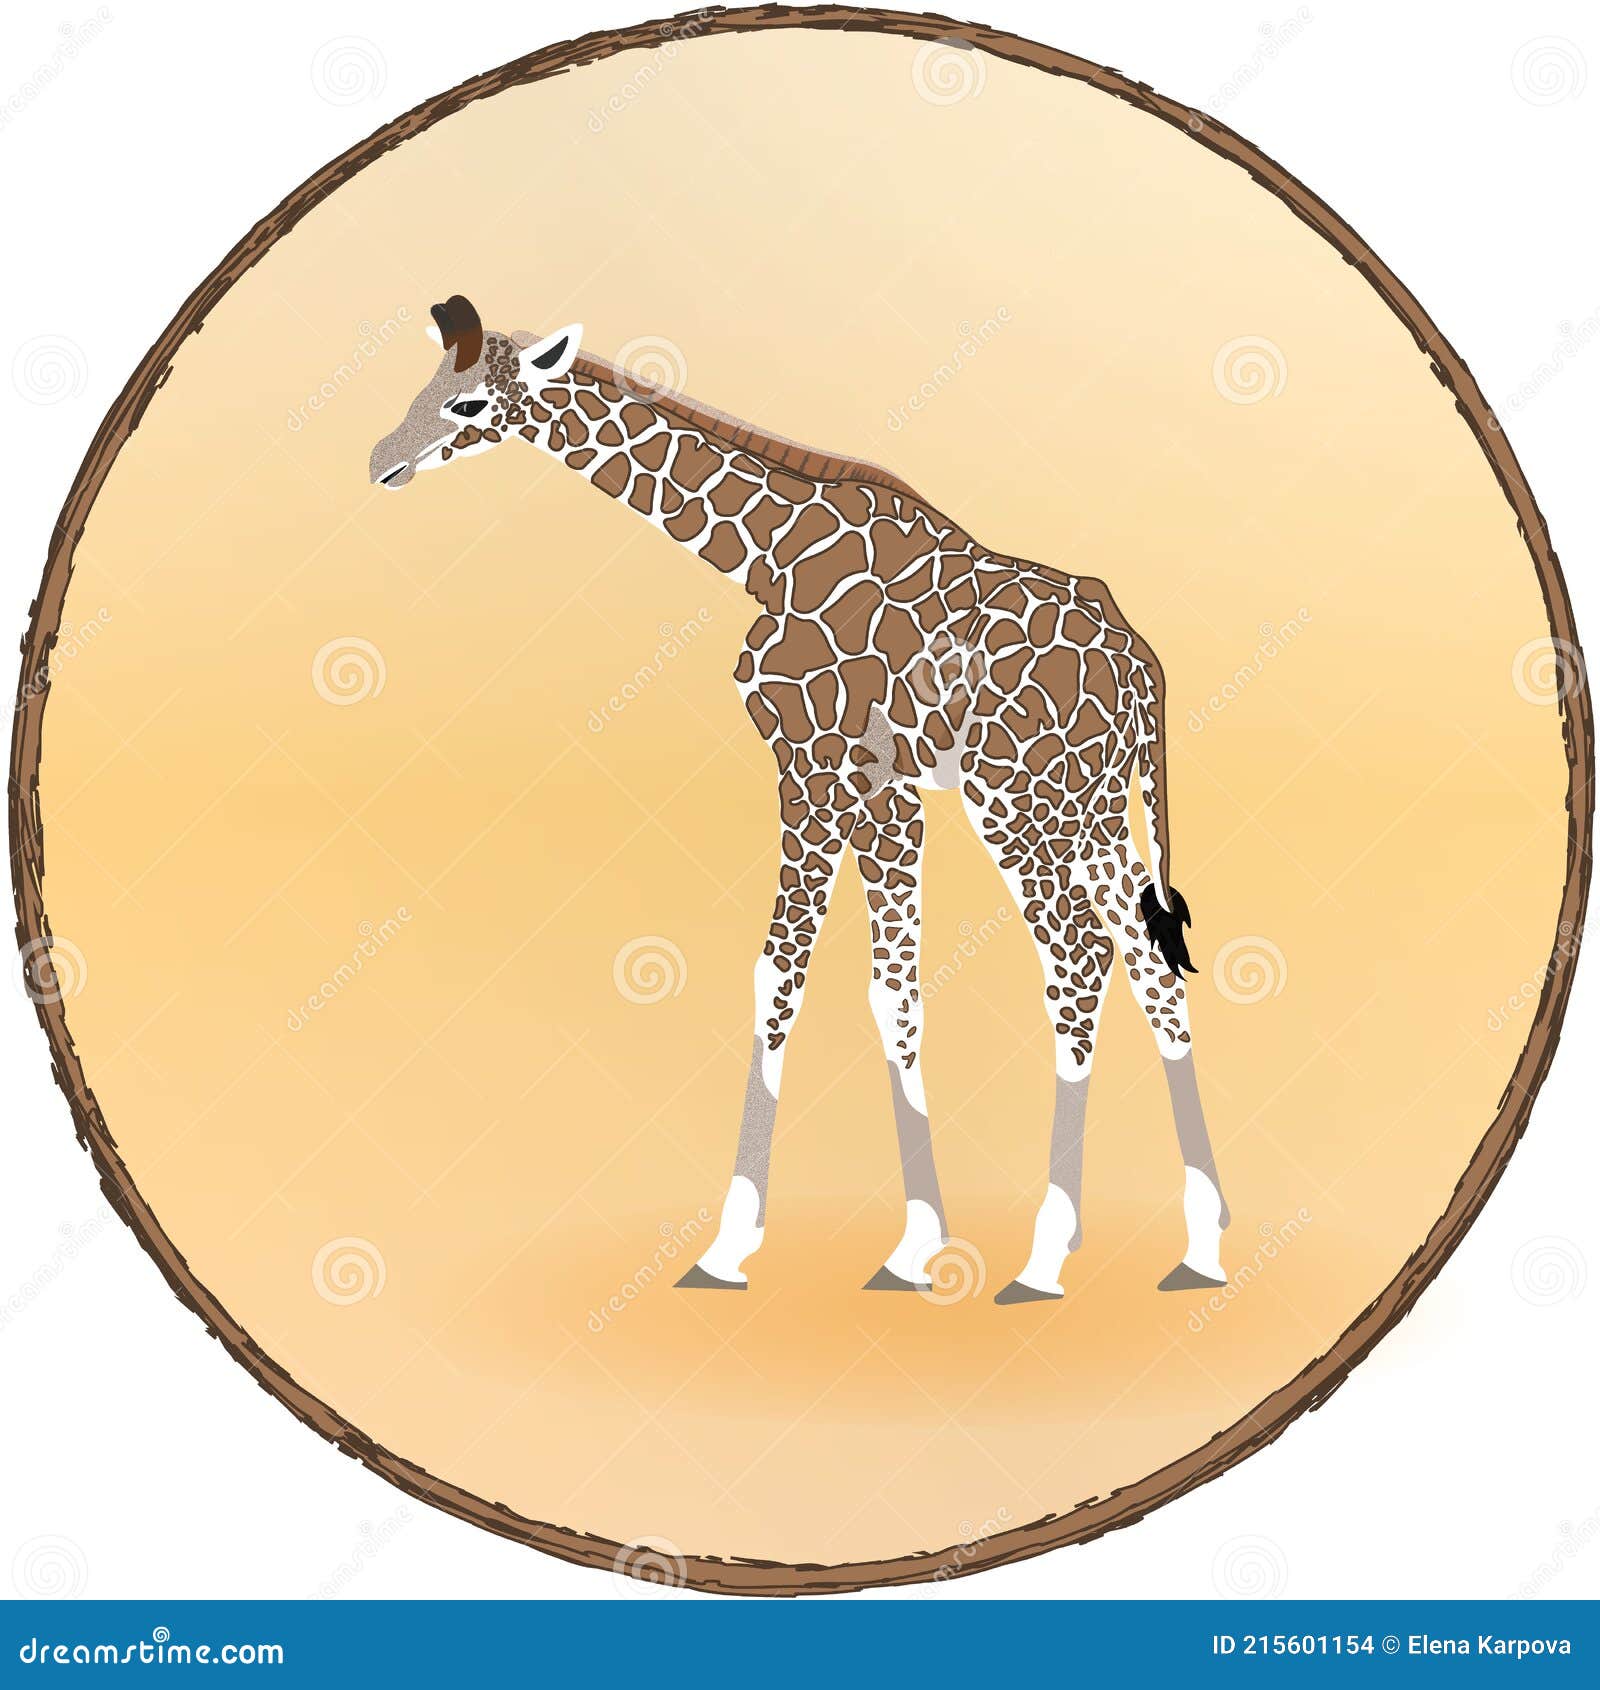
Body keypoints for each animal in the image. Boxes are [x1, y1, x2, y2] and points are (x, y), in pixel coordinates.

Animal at [369, 297, 1230, 1304]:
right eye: (427, 382)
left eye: (467, 404)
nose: (381, 461)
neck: (765, 554)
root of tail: (1140, 664)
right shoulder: (886, 792)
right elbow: (894, 991)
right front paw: (915, 1246)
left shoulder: (812, 766)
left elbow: (778, 974)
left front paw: (728, 1245)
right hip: (1090, 807)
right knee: (1148, 964)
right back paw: (1201, 1247)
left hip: (1018, 796)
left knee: (1079, 960)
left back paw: (1046, 1256)